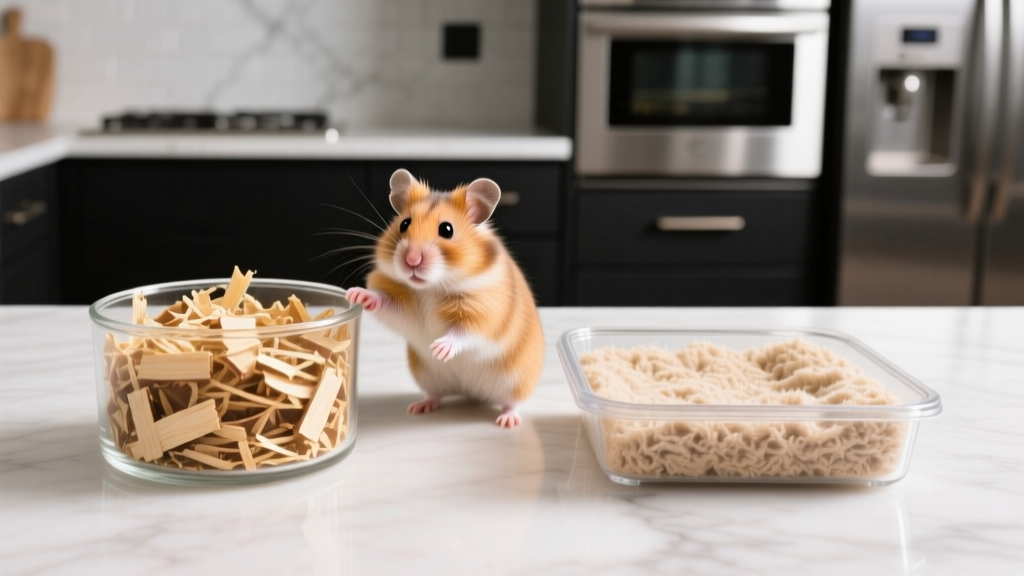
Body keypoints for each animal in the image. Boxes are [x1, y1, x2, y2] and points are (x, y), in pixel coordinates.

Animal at [345, 168, 544, 428]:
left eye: (447, 230)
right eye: (404, 224)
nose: (411, 261)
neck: (431, 288)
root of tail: (470, 392)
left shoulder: (485, 313)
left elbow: (463, 332)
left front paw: (439, 349)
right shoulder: (403, 307)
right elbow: (382, 301)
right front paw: (355, 294)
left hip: (517, 381)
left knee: (511, 402)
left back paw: (507, 421)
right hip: (426, 376)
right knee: (435, 395)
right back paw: (418, 408)